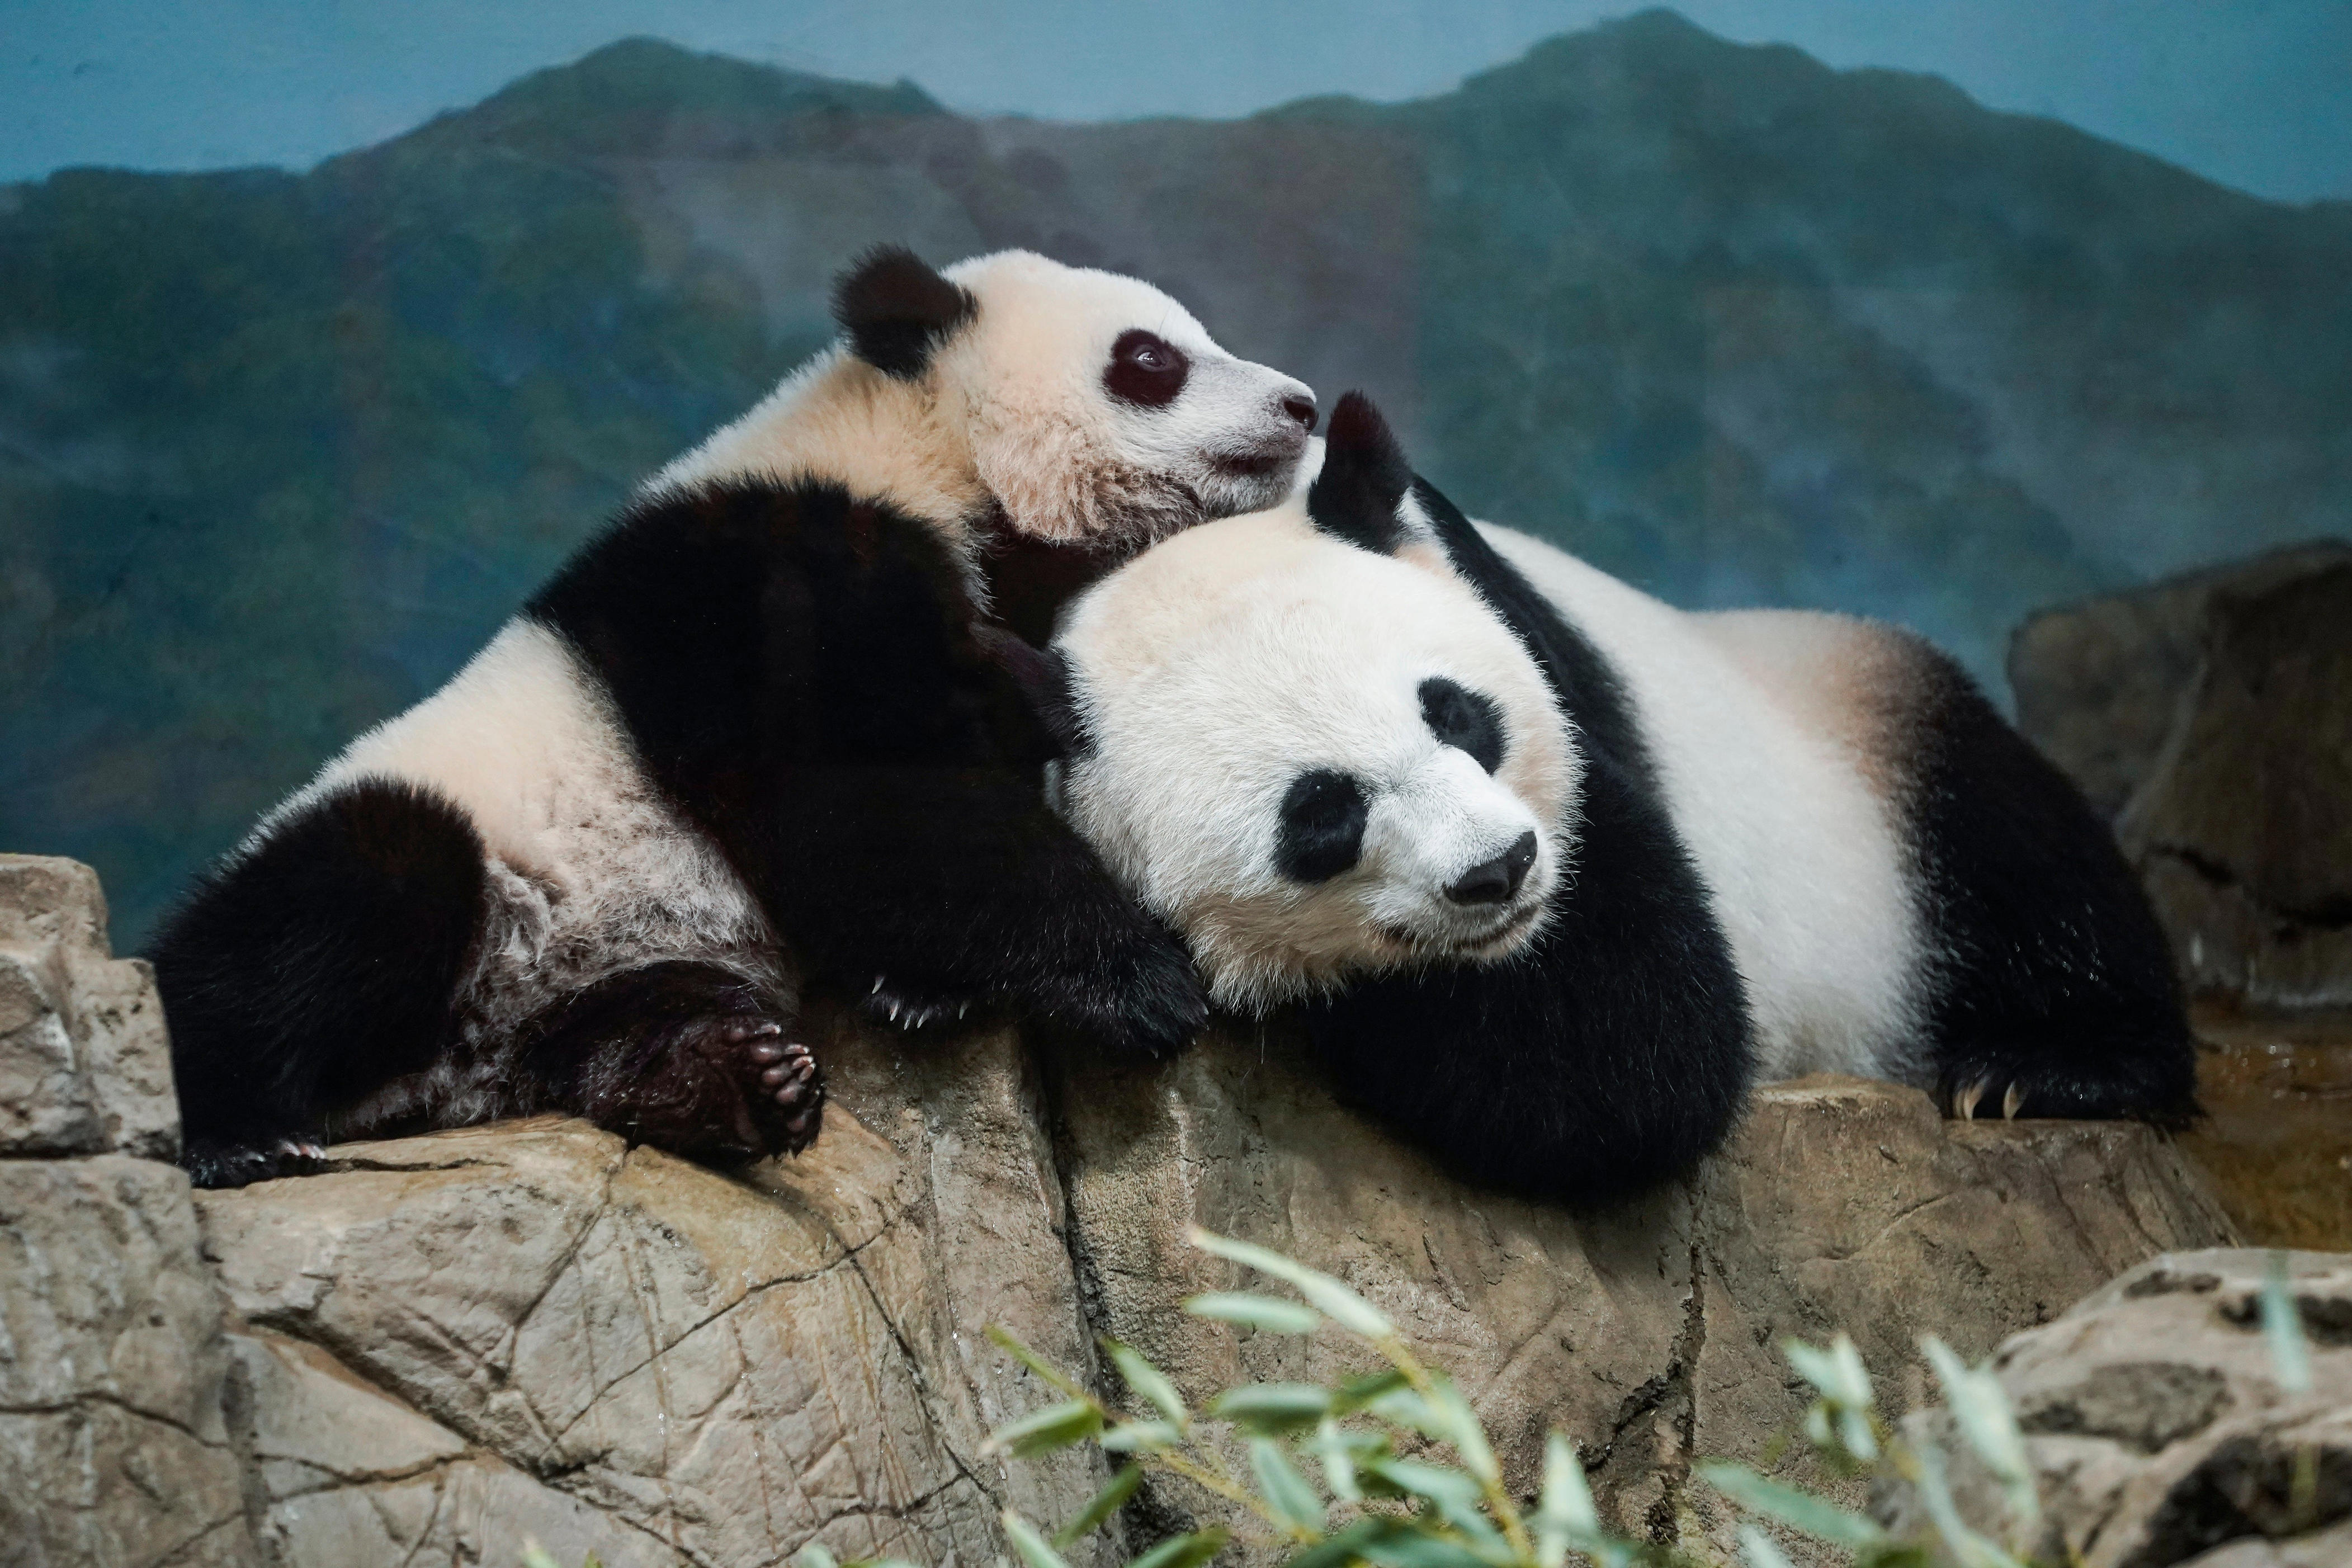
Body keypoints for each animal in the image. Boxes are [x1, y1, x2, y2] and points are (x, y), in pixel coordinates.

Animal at [151, 247, 1318, 1188]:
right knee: (340, 903)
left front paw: (921, 987)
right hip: (453, 831)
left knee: (636, 1023)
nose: (1302, 405)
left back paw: (734, 1082)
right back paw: (242, 1129)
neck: (926, 453)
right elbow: (871, 799)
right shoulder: (771, 575)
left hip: (605, 976)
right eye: (1150, 359)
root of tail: (444, 1078)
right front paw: (1142, 980)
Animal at [1042, 393, 2198, 1201]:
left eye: (1457, 713)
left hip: (1866, 742)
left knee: (2023, 858)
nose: (1498, 872)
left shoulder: (1544, 676)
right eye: (1322, 817)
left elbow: (1633, 1039)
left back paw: (2040, 1069)